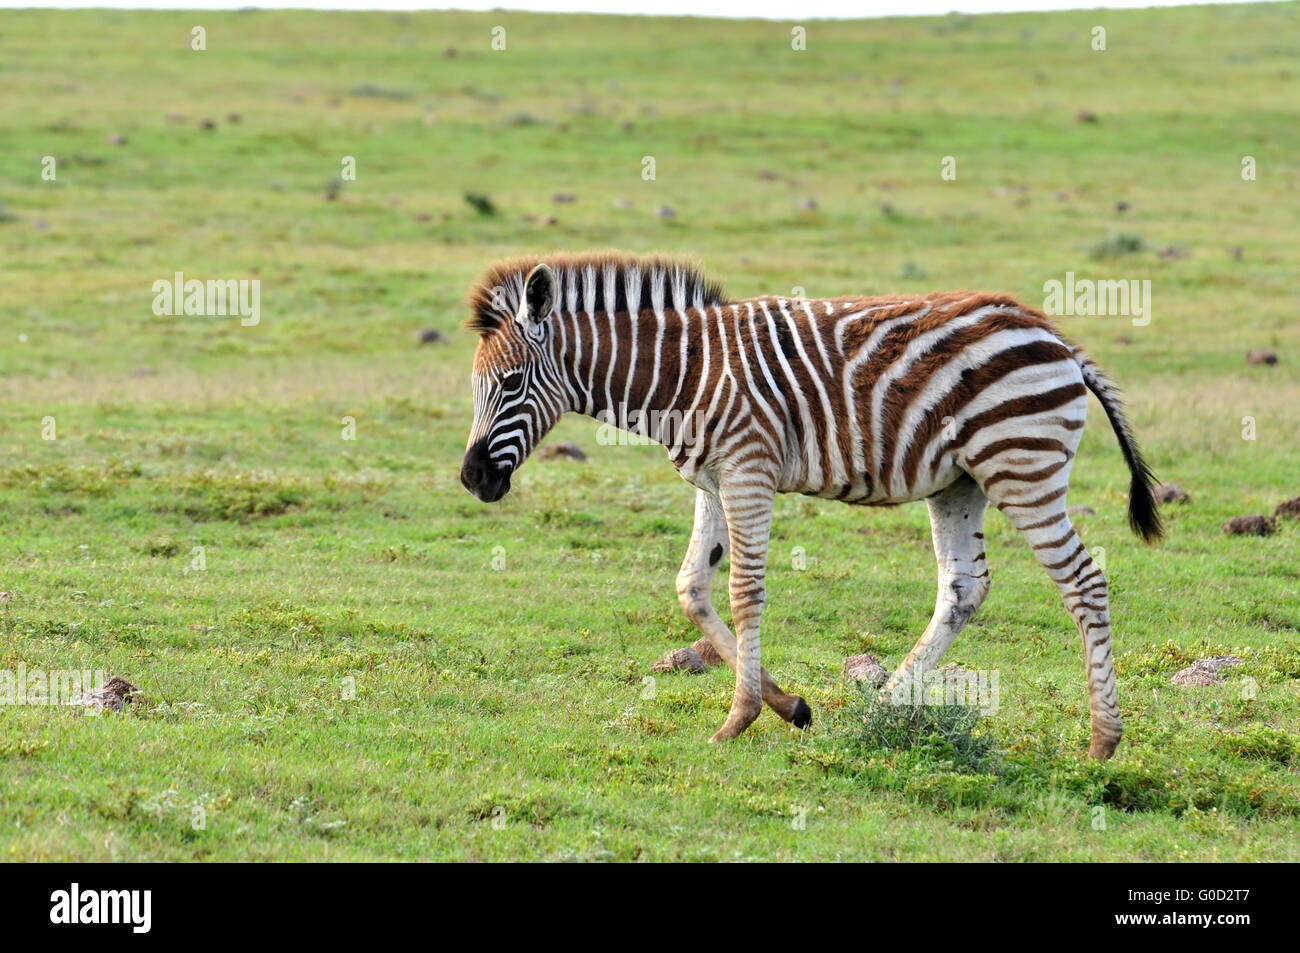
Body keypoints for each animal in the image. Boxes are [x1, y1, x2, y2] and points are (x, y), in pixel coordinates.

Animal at [460, 253, 1162, 759]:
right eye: (476, 388)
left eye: (512, 384)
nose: (472, 479)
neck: (683, 374)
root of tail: (1055, 336)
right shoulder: (712, 481)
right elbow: (692, 587)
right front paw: (790, 706)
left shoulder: (748, 471)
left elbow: (744, 591)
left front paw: (737, 720)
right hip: (958, 483)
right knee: (964, 588)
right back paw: (885, 708)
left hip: (1021, 466)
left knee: (1084, 581)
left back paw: (1103, 743)